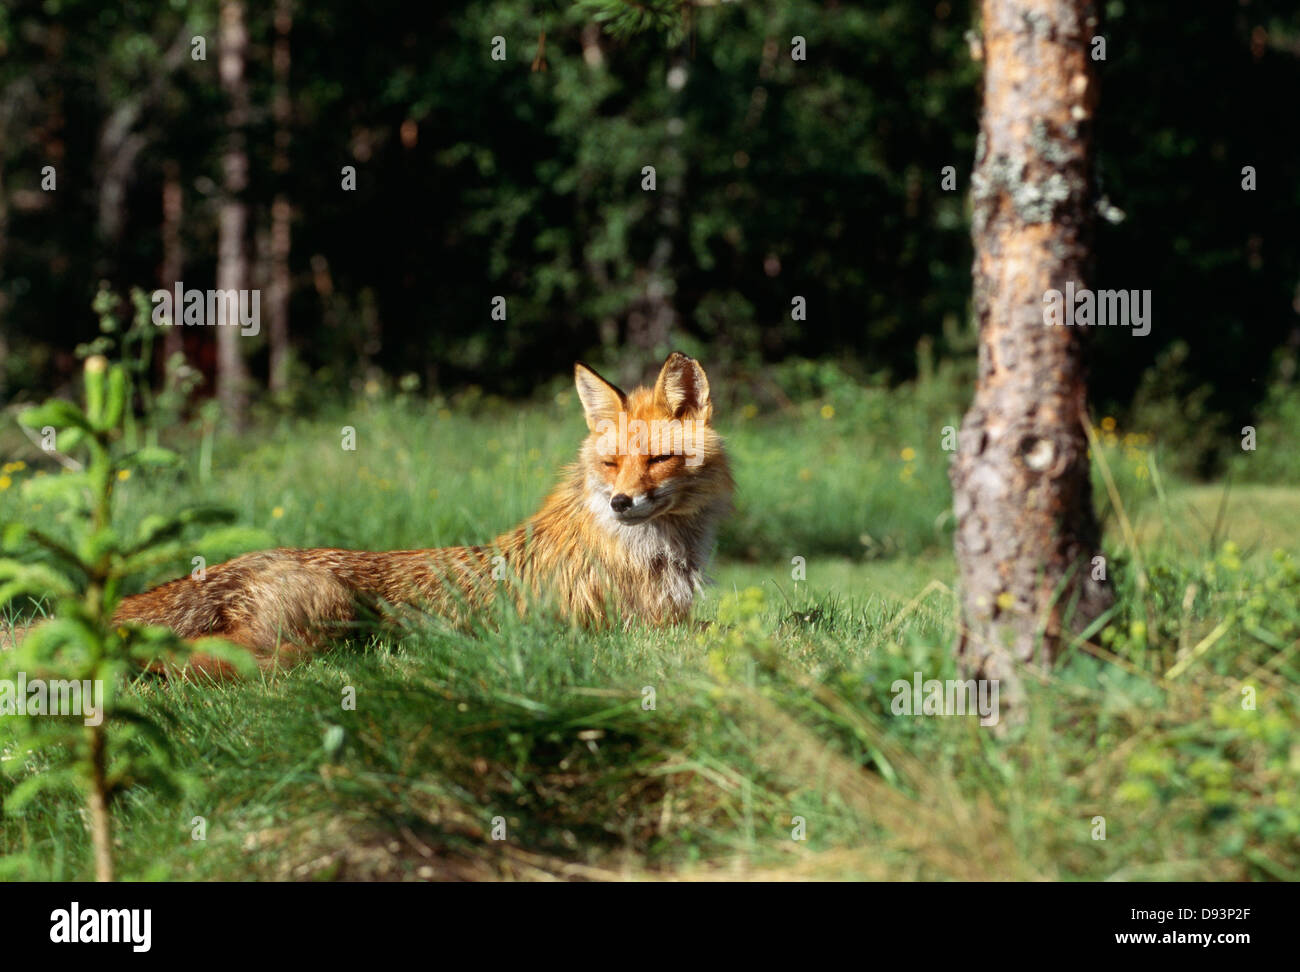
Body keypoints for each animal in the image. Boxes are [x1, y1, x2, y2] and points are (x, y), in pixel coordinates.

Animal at [106, 352, 733, 677]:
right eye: (611, 463)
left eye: (657, 459)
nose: (622, 502)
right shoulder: (641, 628)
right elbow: (727, 630)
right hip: (329, 621)